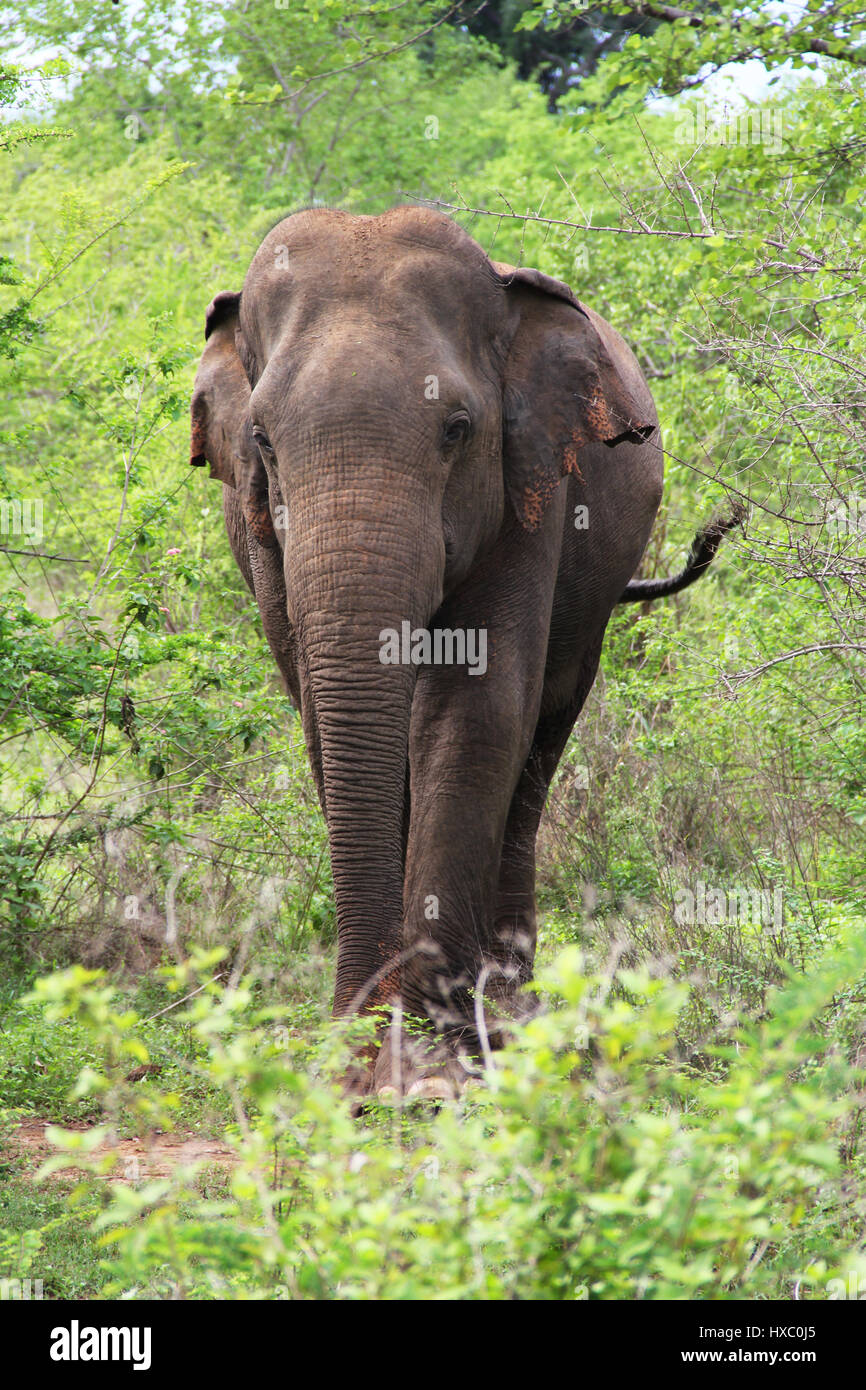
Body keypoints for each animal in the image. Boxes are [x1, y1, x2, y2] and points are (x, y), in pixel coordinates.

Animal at [190, 205, 739, 1099]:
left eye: (458, 430)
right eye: (263, 440)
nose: (359, 1032)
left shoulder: (533, 481)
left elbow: (475, 711)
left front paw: (423, 1068)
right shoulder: (256, 528)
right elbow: (322, 715)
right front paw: (359, 1059)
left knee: (545, 727)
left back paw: (512, 1008)